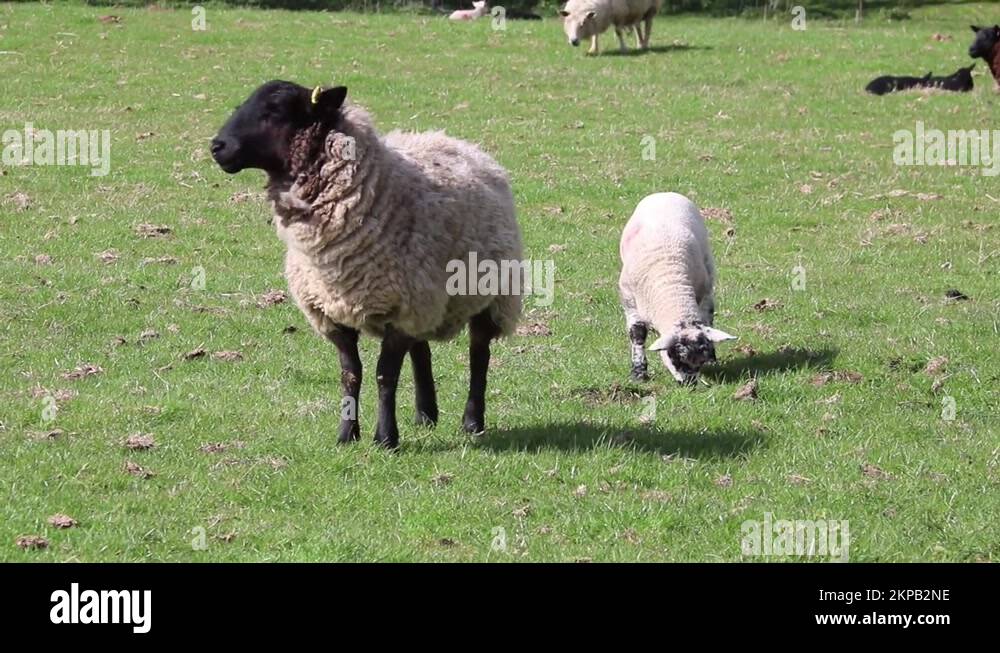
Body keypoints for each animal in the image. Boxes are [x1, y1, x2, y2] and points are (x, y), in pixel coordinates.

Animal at [211, 81, 523, 449]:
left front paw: (385, 438)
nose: (217, 146)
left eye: (274, 110)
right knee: (421, 350)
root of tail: (454, 141)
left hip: (492, 293)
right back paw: (425, 414)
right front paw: (347, 433)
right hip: (425, 299)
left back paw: (472, 421)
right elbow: (351, 373)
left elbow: (384, 374)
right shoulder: (332, 312)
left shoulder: (400, 311)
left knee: (479, 355)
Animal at [617, 193, 736, 384]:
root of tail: (664, 193)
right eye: (674, 357)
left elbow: (707, 321)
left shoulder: (705, 294)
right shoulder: (629, 301)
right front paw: (639, 373)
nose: (690, 384)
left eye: (701, 361)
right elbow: (637, 334)